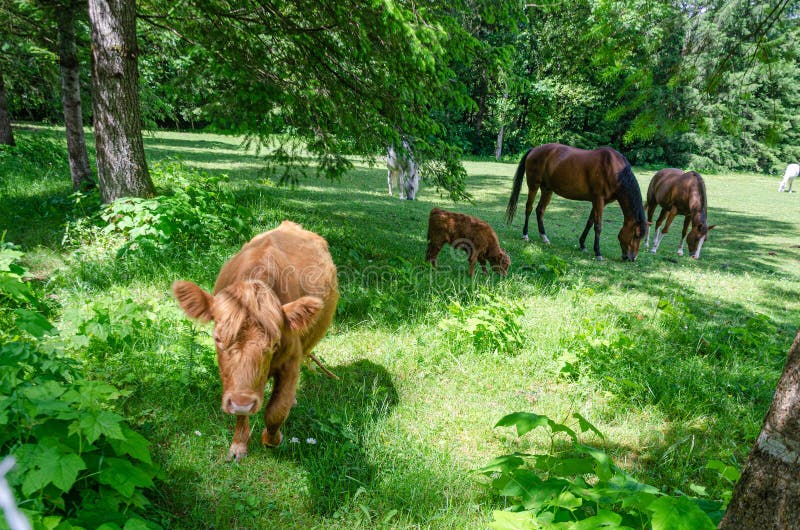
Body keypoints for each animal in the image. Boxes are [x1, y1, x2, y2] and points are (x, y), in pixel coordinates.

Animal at [172, 221, 338, 462]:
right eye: (218, 339)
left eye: (275, 343)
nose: (242, 403)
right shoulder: (233, 384)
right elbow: (241, 410)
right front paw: (239, 445)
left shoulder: (291, 361)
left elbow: (276, 410)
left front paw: (272, 439)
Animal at [506, 143, 648, 261]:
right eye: (636, 235)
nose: (632, 258)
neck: (614, 170)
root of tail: (534, 149)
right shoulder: (599, 200)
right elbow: (598, 226)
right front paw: (598, 253)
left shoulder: (597, 202)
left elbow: (590, 222)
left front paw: (583, 245)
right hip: (533, 185)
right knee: (529, 208)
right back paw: (525, 235)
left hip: (547, 189)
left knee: (540, 210)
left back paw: (544, 237)